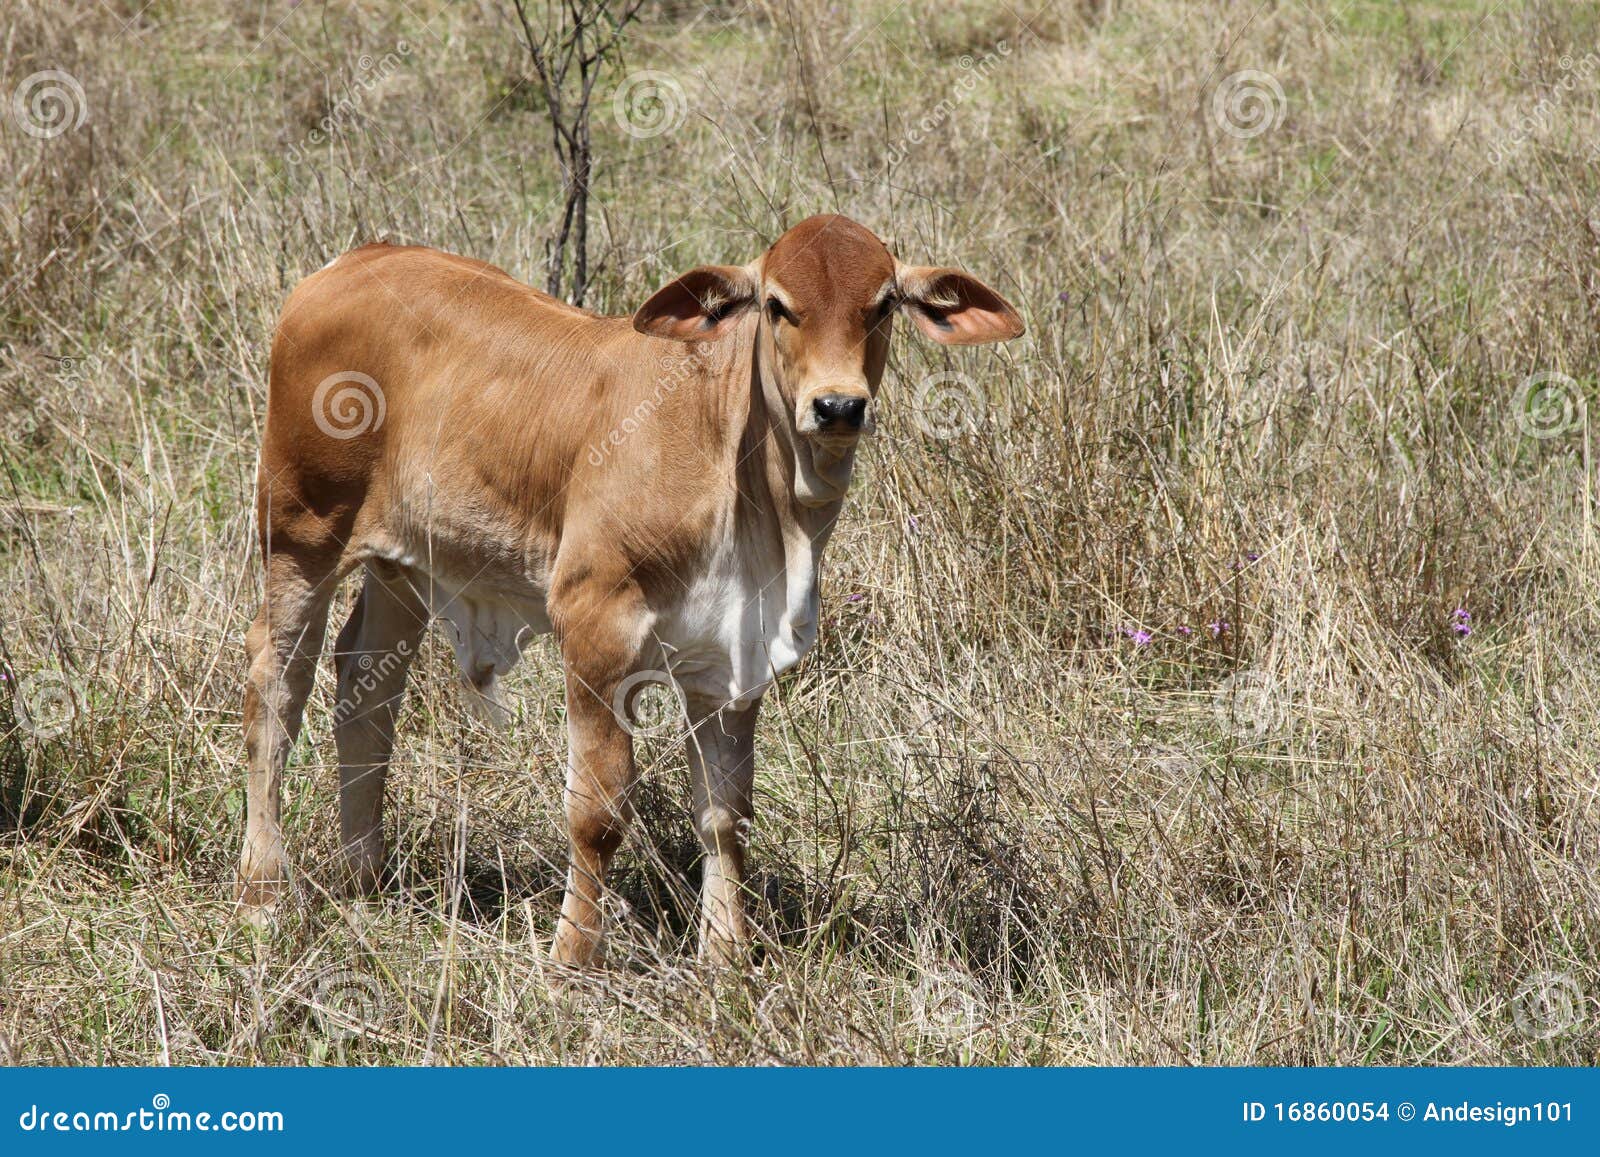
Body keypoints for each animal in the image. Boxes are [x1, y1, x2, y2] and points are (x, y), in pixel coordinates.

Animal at [237, 213, 1023, 966]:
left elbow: (725, 814)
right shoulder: (596, 628)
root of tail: (356, 260)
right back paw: (264, 889)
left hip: (405, 563)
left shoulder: (732, 660)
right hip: (301, 531)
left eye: (883, 304)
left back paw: (363, 875)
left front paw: (726, 963)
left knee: (366, 683)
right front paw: (572, 960)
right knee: (276, 684)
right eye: (777, 305)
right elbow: (599, 811)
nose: (837, 407)